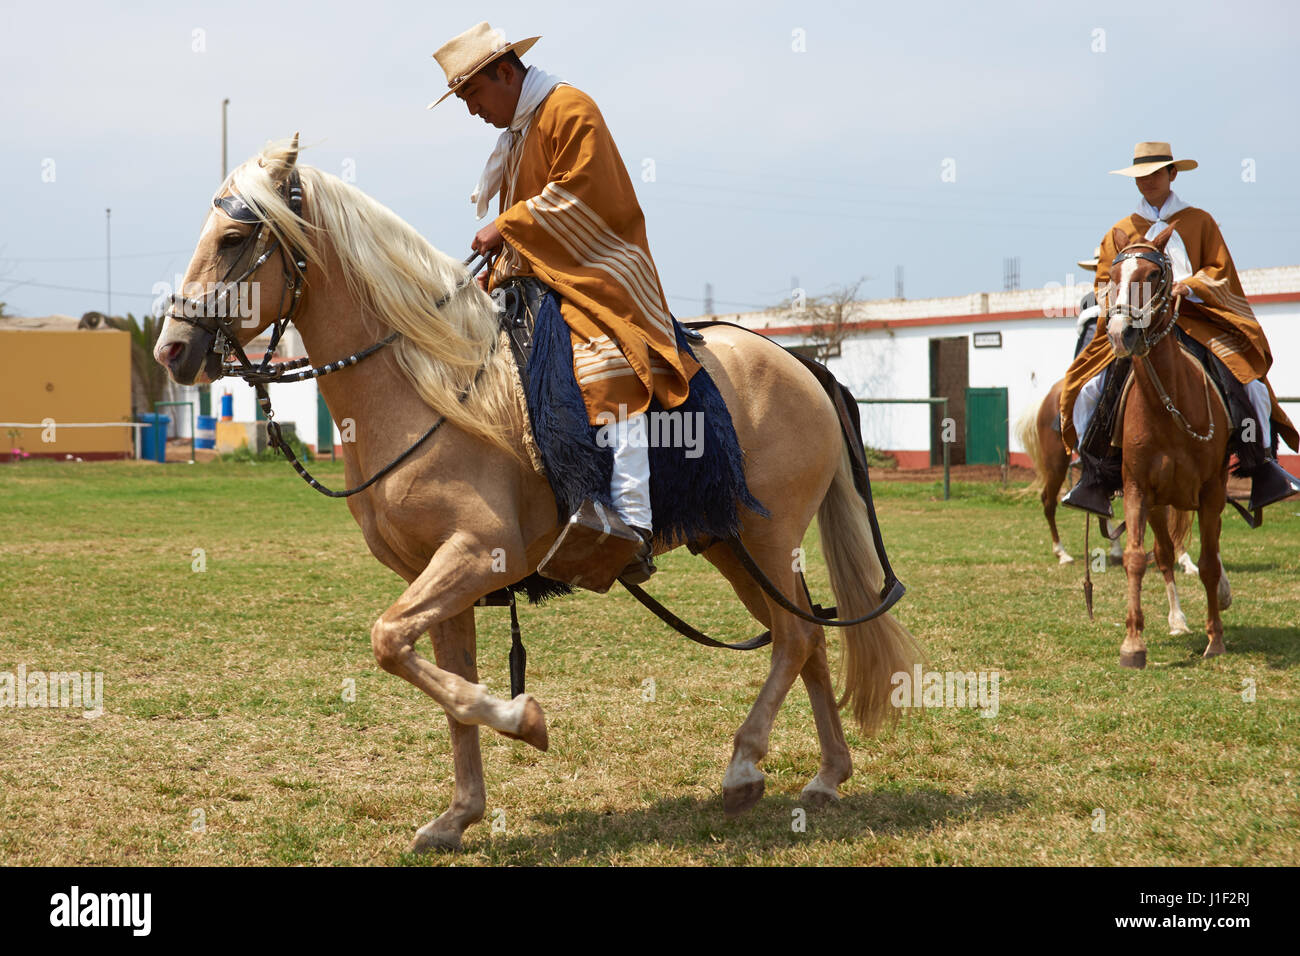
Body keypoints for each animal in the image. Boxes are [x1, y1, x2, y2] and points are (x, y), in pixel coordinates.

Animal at [153, 136, 922, 851]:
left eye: (232, 239)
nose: (171, 349)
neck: (426, 388)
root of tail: (800, 363)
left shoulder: (476, 552)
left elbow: (388, 640)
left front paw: (523, 720)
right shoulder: (440, 577)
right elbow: (441, 678)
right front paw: (458, 815)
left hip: (768, 535)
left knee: (796, 637)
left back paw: (744, 769)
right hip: (733, 548)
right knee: (810, 639)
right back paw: (826, 775)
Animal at [1102, 225, 1233, 667]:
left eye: (1154, 274)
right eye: (1112, 275)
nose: (1120, 333)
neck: (1170, 404)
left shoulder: (1211, 491)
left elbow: (1208, 562)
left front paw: (1216, 639)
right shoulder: (1138, 489)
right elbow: (1135, 558)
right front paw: (1132, 644)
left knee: (1212, 548)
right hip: (1160, 505)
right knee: (1162, 554)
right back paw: (1176, 620)